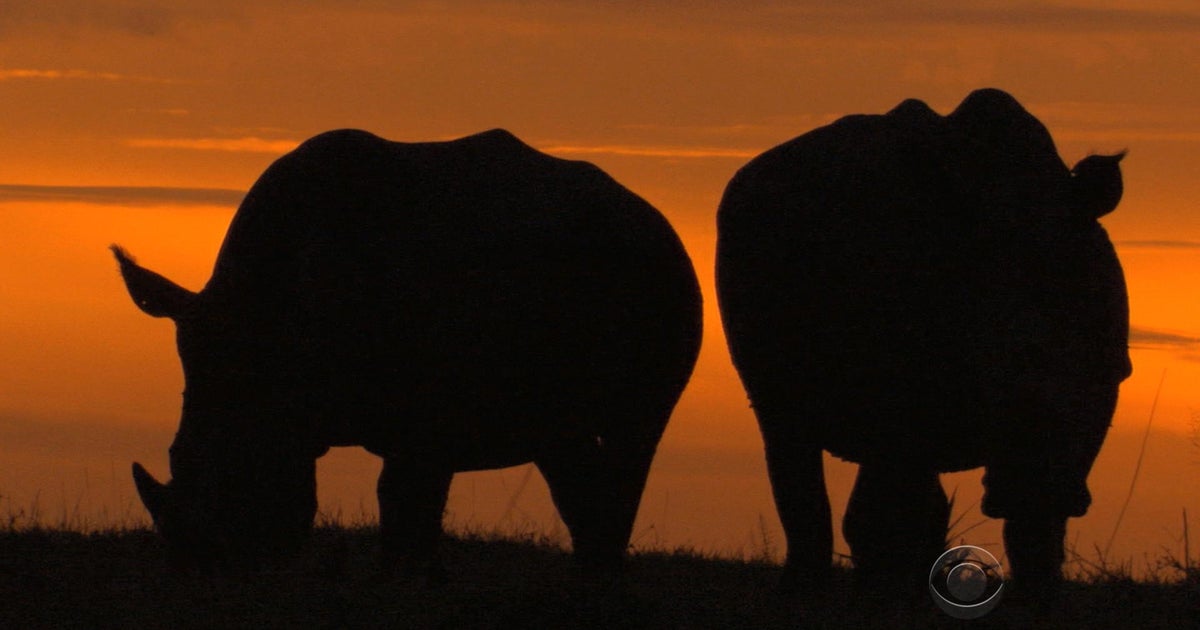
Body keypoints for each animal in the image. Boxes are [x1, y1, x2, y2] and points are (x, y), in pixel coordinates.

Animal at [115, 128, 702, 572]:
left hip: (662, 275)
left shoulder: (427, 407)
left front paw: (403, 579)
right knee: (564, 444)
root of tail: (654, 217)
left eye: (243, 475)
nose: (205, 562)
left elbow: (404, 499)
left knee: (633, 434)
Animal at [715, 89, 1130, 595]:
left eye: (1111, 372)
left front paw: (1038, 595)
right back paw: (811, 588)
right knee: (789, 429)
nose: (1034, 482)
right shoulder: (905, 375)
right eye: (991, 381)